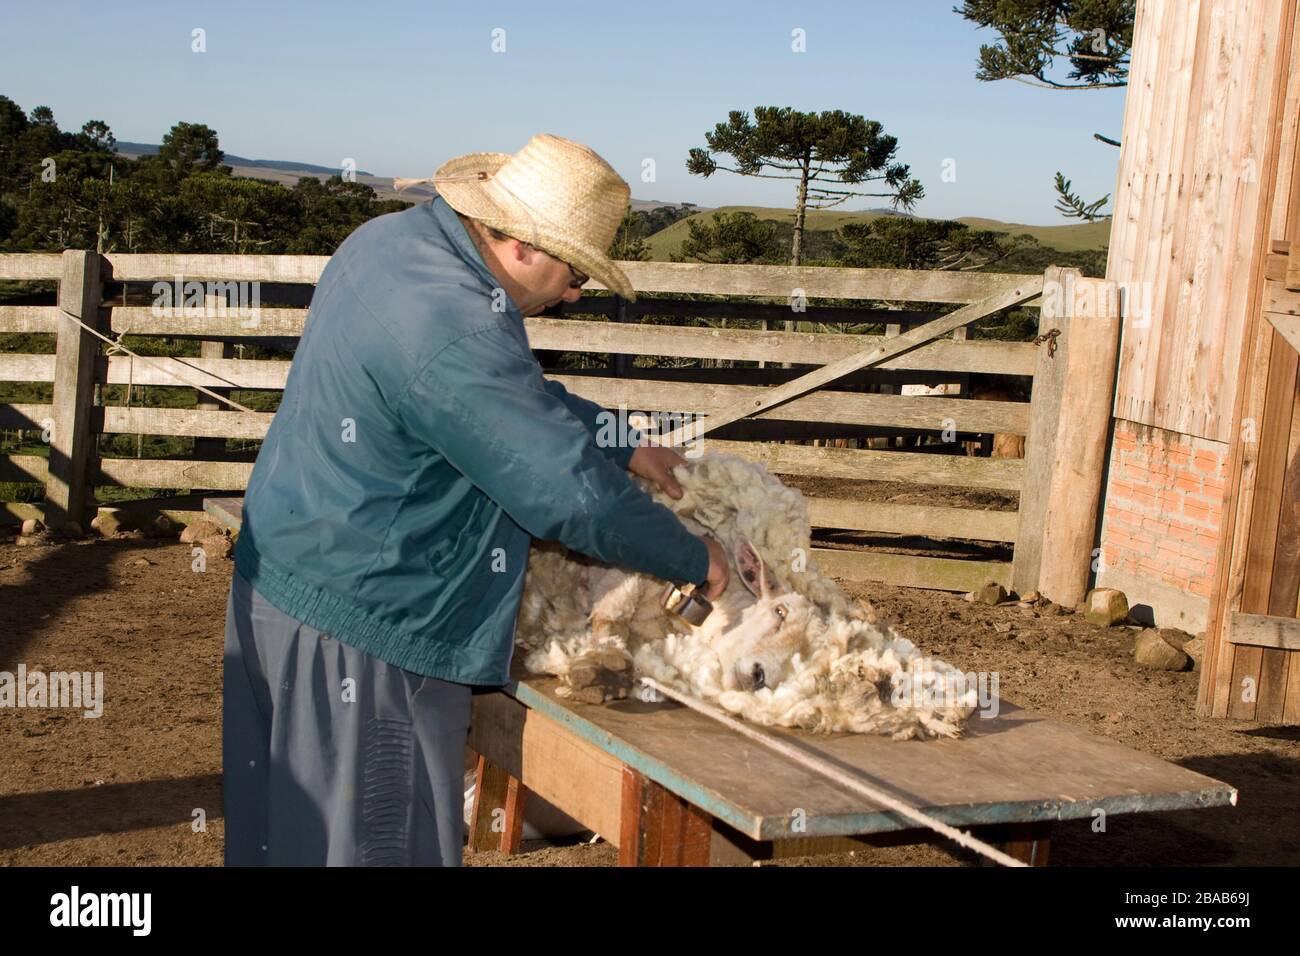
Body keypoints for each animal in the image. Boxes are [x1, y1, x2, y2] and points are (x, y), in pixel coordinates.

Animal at [513, 452, 978, 740]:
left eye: (800, 661)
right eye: (779, 610)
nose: (756, 675)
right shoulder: (629, 569)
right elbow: (612, 611)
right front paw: (602, 664)